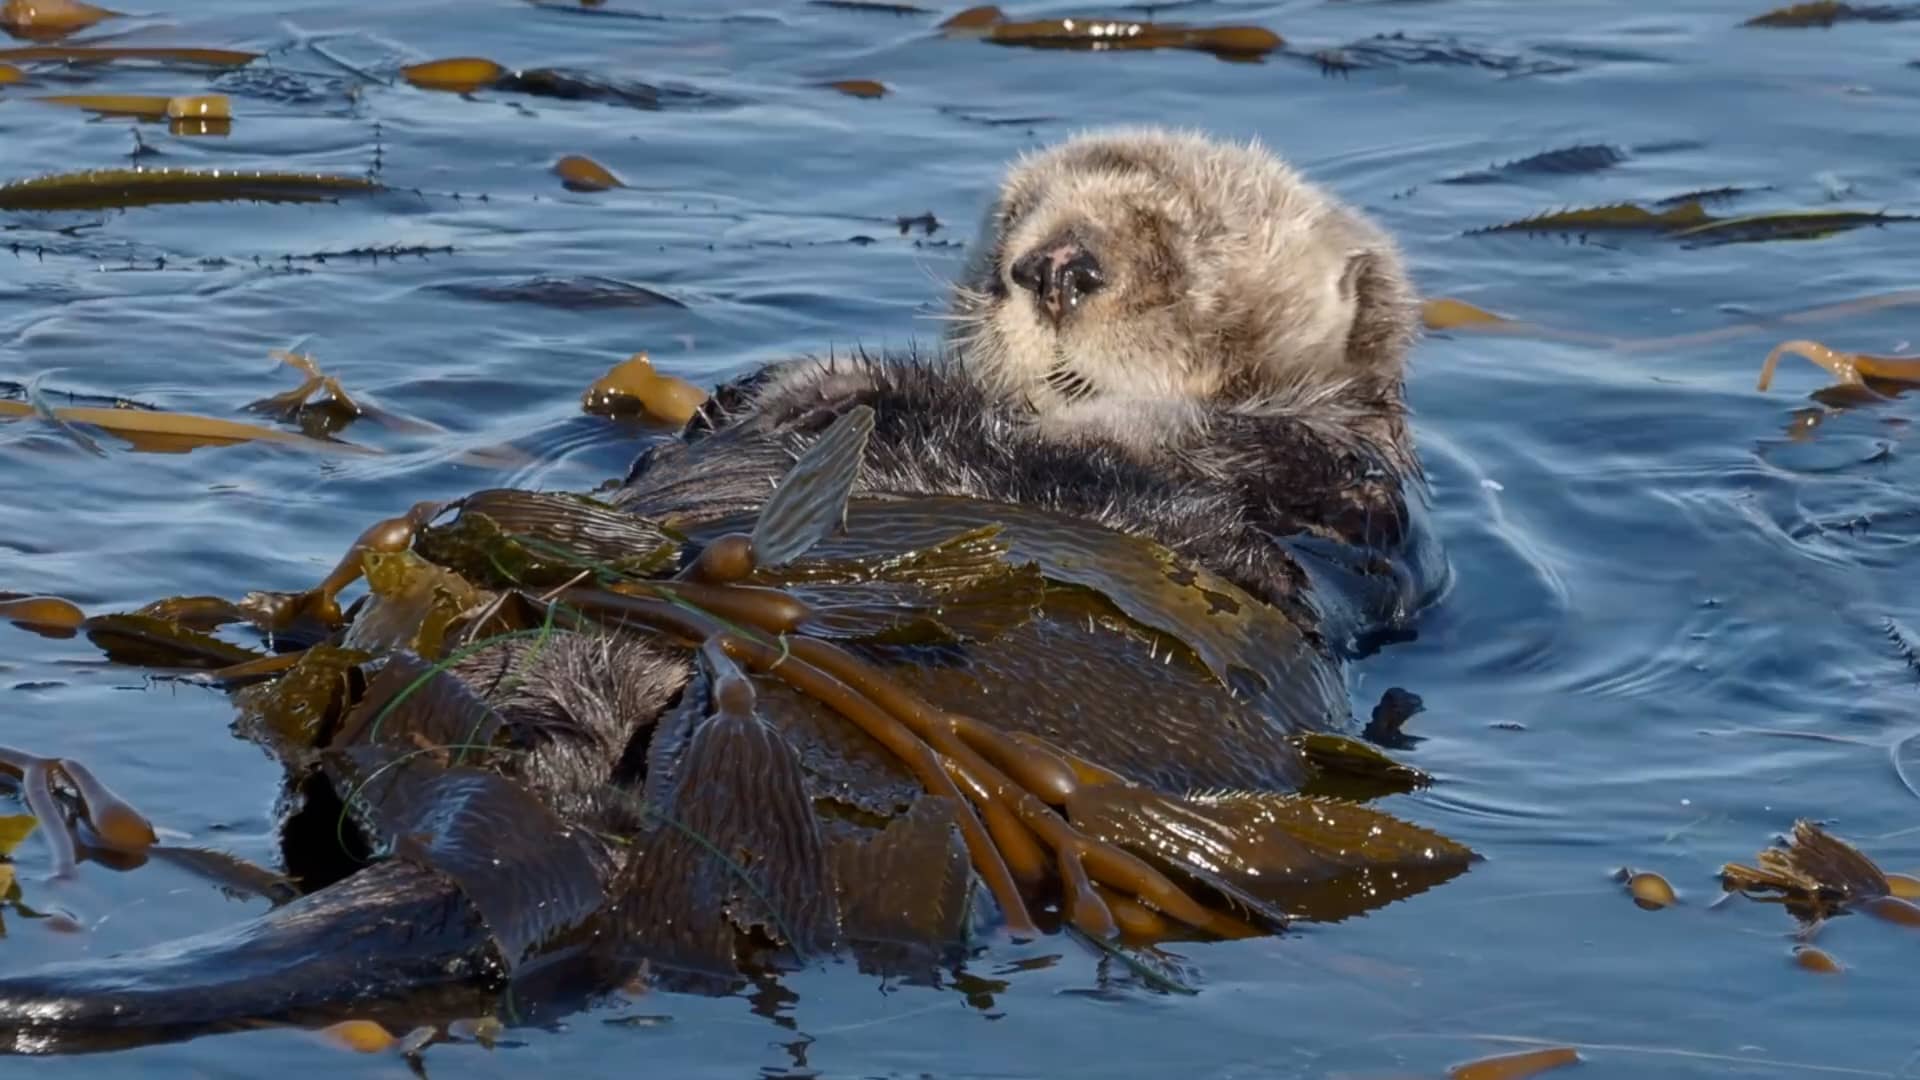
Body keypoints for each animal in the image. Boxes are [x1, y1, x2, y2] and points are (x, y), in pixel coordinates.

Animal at [0, 127, 1458, 1053]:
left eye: (1194, 241)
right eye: (1014, 221)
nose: (1054, 261)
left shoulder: (1318, 494)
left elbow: (1177, 490)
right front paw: (777, 398)